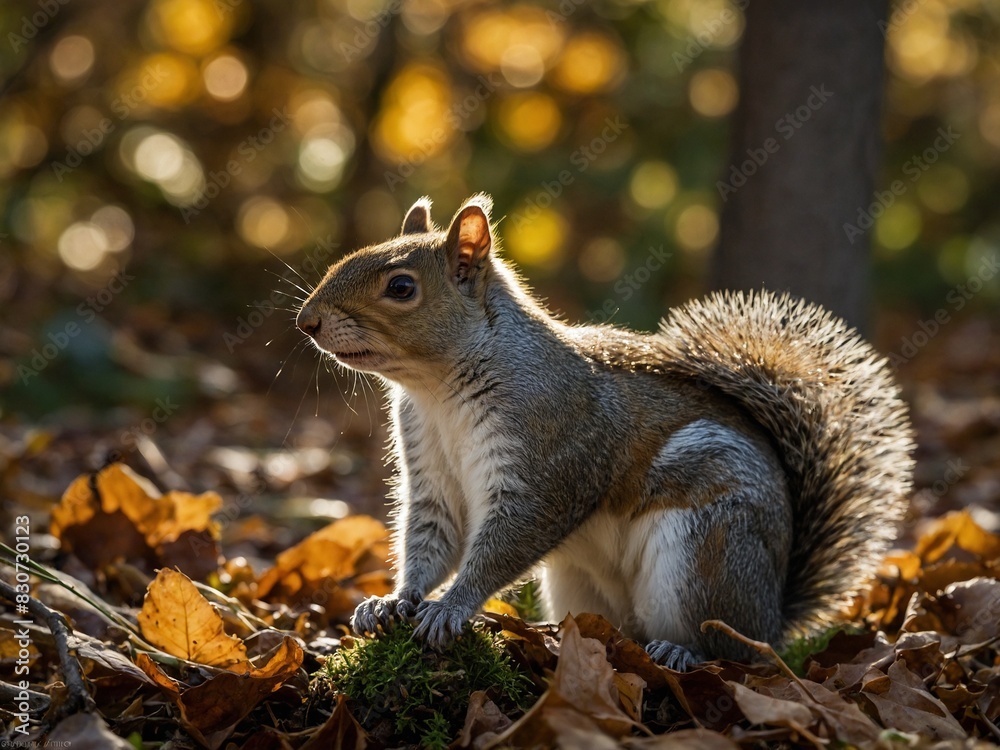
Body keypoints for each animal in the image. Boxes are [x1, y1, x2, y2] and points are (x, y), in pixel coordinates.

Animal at [296, 194, 914, 670]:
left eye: (401, 287)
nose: (307, 321)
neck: (437, 389)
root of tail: (773, 613)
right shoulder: (432, 472)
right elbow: (431, 538)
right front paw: (393, 602)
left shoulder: (549, 454)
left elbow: (506, 541)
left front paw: (450, 607)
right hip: (576, 582)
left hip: (706, 555)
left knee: (732, 647)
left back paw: (687, 653)